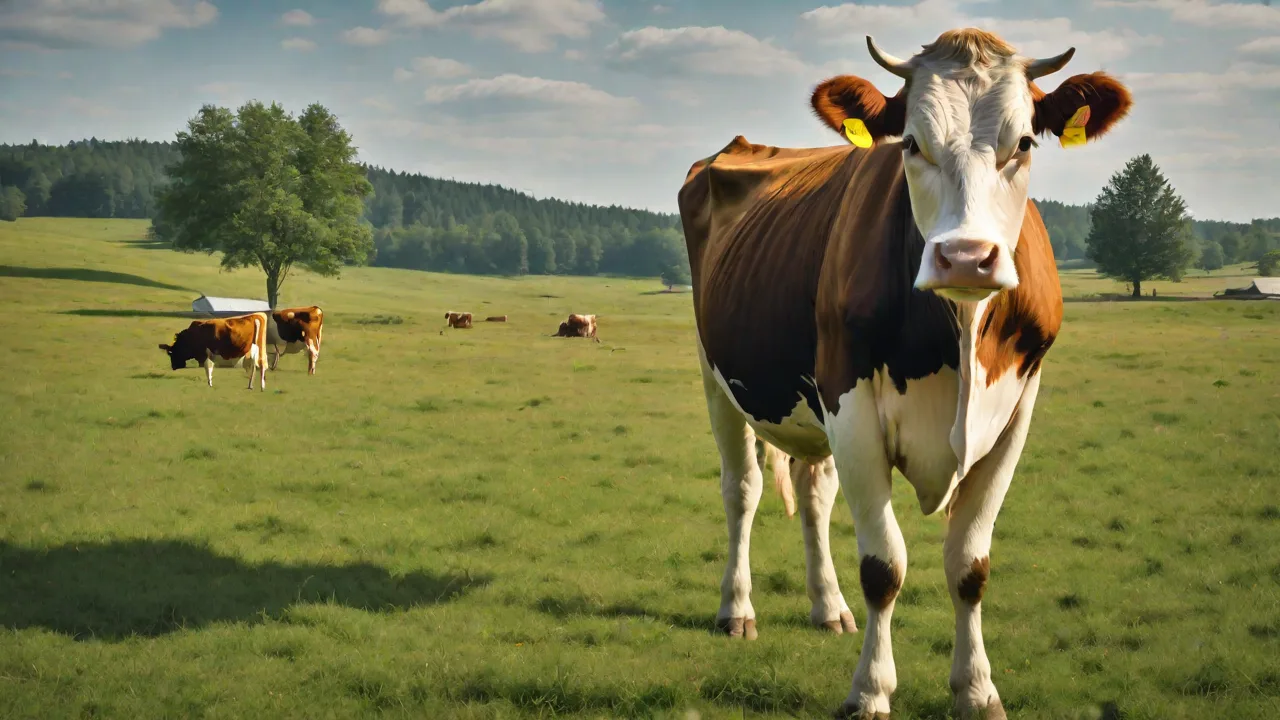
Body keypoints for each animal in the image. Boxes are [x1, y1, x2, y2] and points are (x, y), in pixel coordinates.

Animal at [678, 28, 1130, 719]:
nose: (966, 257)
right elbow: (883, 566)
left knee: (813, 492)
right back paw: (737, 610)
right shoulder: (851, 403)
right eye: (912, 143)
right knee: (743, 490)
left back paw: (828, 608)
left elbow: (970, 564)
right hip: (718, 379)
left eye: (1025, 142)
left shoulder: (1015, 414)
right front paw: (870, 690)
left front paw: (978, 690)